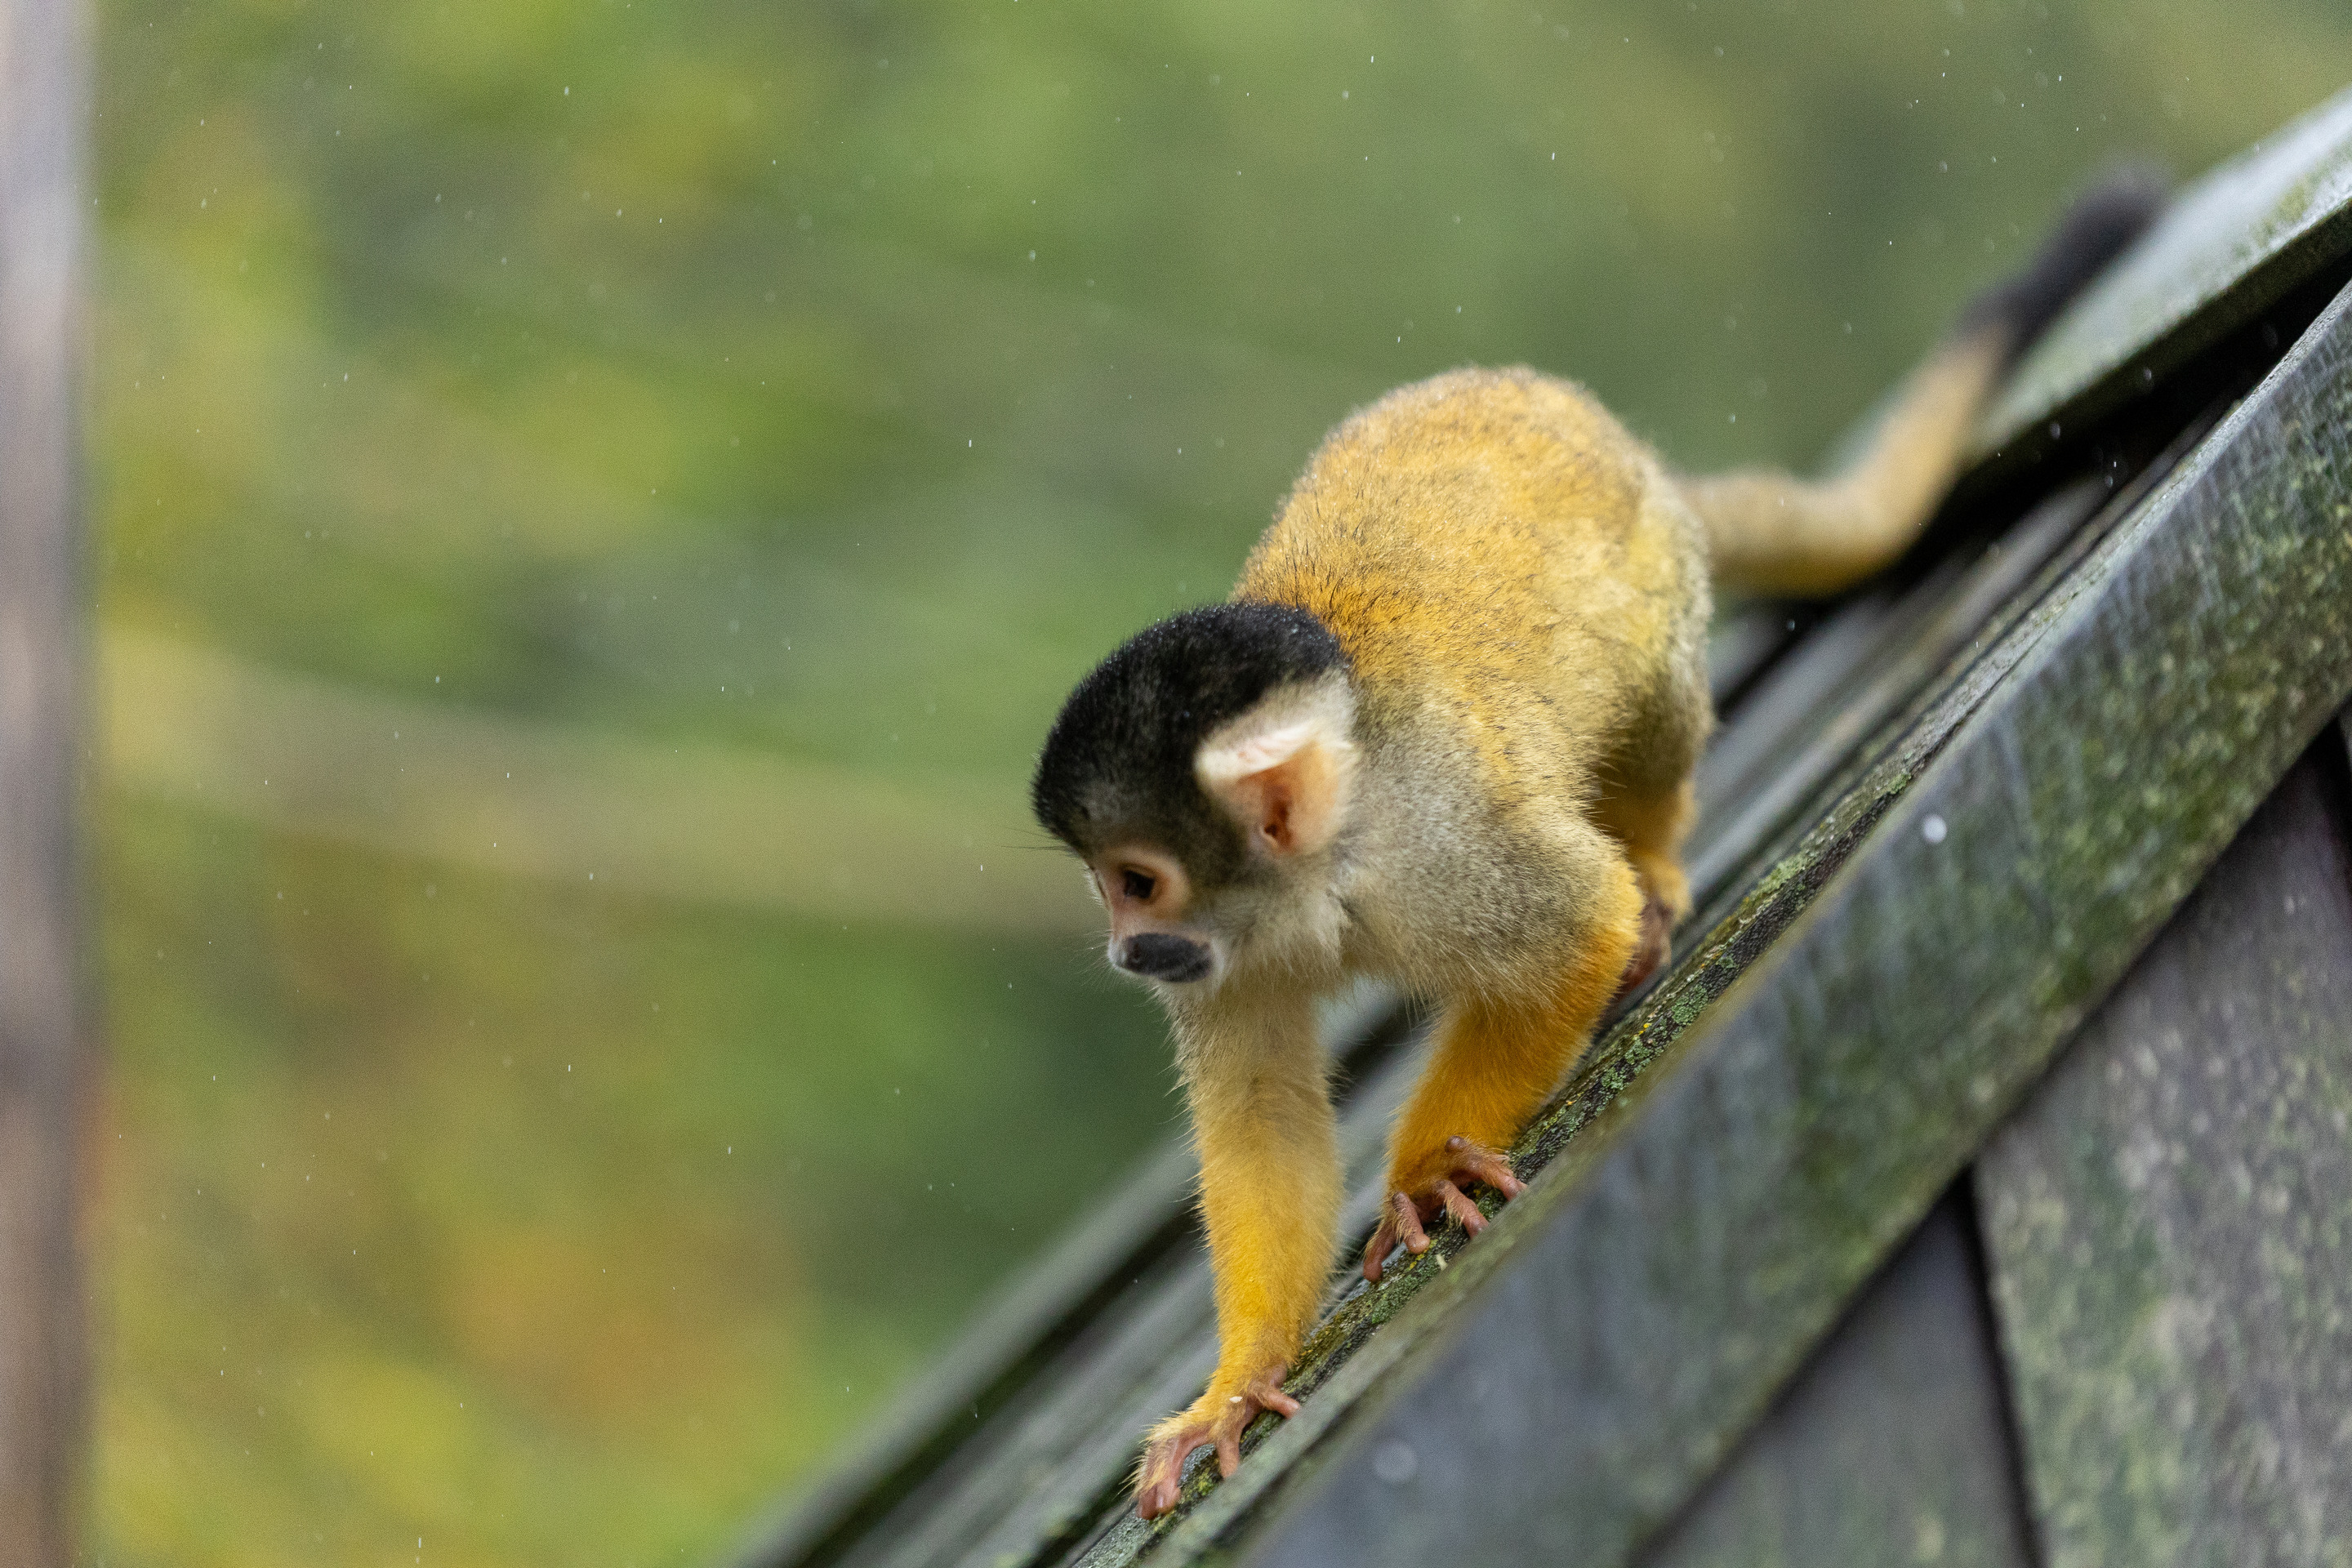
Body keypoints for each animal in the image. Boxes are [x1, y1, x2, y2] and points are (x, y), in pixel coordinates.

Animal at [1031, 174, 2162, 1520]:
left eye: (1137, 881)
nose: (1126, 950)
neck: (1330, 869)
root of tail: (1630, 449)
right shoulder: (1235, 951)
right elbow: (1261, 1115)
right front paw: (1236, 1385)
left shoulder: (1451, 848)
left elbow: (1577, 921)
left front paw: (1425, 1170)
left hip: (1657, 572)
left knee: (1652, 711)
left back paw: (1659, 854)